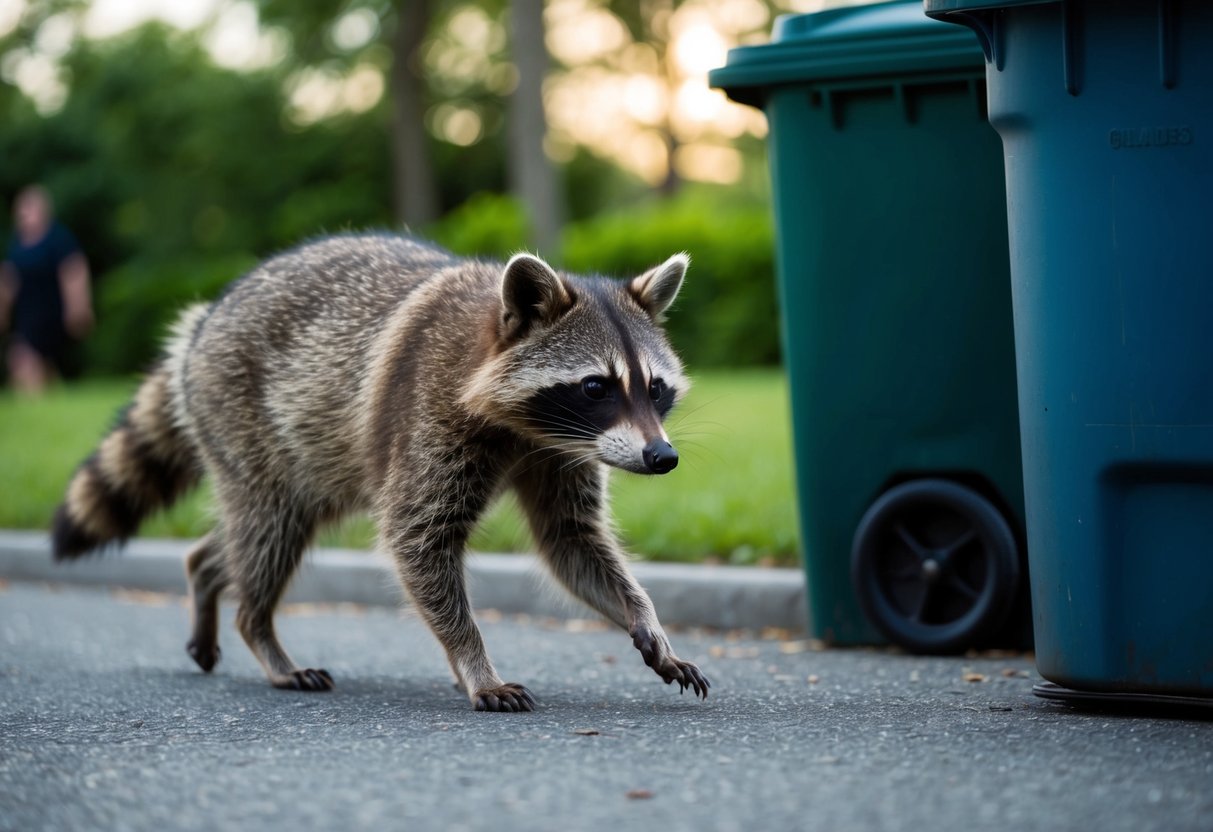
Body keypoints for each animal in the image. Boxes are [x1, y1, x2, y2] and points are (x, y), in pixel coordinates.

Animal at [51, 234, 709, 711]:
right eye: (596, 387)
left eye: (655, 387)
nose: (662, 458)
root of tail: (203, 324)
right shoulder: (430, 410)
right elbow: (416, 535)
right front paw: (473, 661)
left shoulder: (559, 451)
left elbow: (570, 540)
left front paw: (642, 613)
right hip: (246, 416)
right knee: (269, 527)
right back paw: (257, 630)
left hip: (317, 454)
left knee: (254, 530)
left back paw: (206, 574)